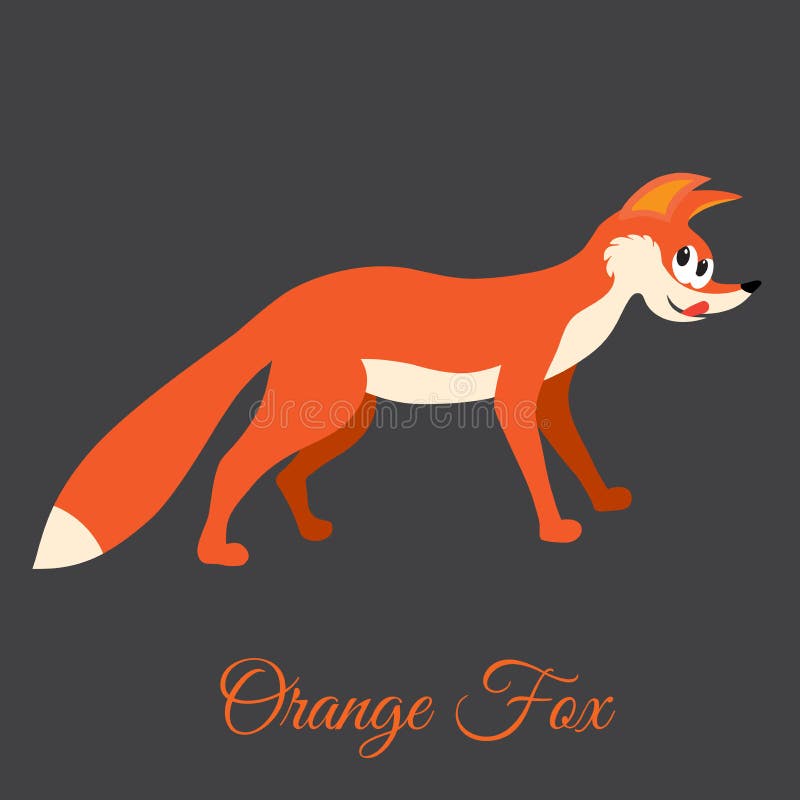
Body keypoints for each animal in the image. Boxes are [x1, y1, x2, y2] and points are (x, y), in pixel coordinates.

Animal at [33, 173, 760, 569]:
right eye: (693, 260)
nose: (751, 285)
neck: (582, 300)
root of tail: (291, 298)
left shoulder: (554, 395)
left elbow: (578, 455)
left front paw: (603, 500)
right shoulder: (516, 393)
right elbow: (538, 470)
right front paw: (555, 530)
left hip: (346, 415)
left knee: (285, 474)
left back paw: (311, 532)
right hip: (318, 405)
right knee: (234, 464)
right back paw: (216, 552)